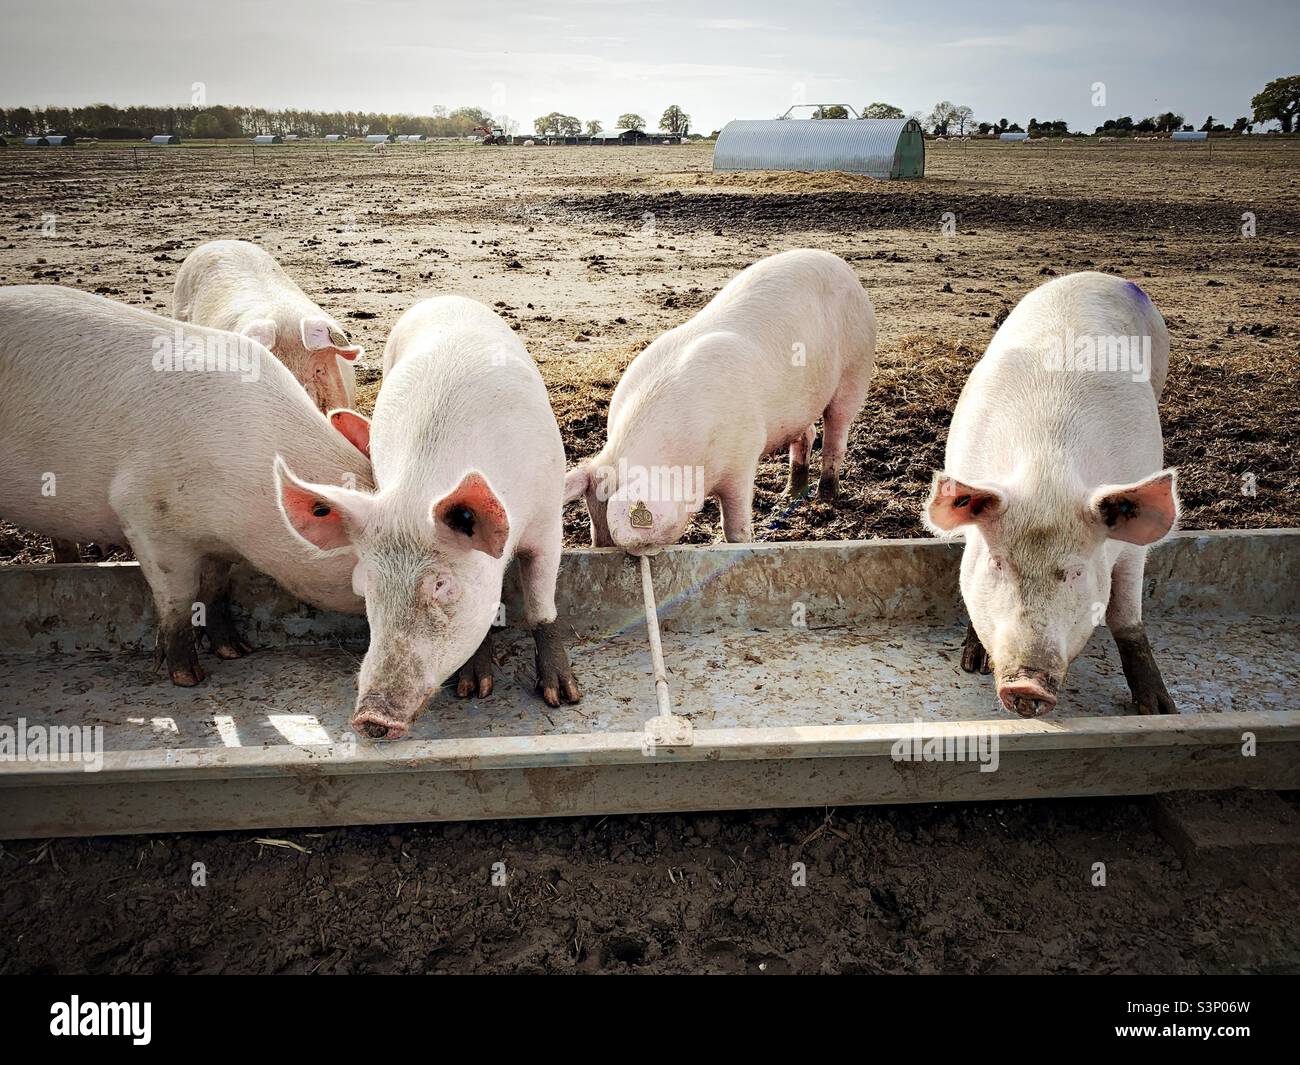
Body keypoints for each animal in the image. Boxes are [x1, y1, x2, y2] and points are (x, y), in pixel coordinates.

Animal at [0, 285, 374, 685]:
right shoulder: (144, 514)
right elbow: (177, 596)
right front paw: (188, 678)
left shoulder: (220, 544)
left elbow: (215, 587)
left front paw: (237, 651)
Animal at [273, 295, 581, 740]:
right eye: (368, 587)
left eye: (440, 585)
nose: (372, 718)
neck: (417, 494)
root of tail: (442, 297)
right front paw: (473, 690)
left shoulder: (547, 522)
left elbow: (542, 607)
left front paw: (562, 696)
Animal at [563, 249, 876, 550]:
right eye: (593, 527)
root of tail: (839, 263)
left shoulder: (744, 455)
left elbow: (735, 526)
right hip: (799, 405)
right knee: (806, 434)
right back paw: (788, 494)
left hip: (856, 367)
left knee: (836, 436)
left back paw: (827, 496)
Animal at [923, 271, 1180, 717]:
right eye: (997, 563)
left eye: (1076, 572)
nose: (1027, 683)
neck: (1048, 477)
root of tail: (1103, 275)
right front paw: (972, 664)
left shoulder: (1132, 547)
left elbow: (1126, 617)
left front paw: (1160, 710)